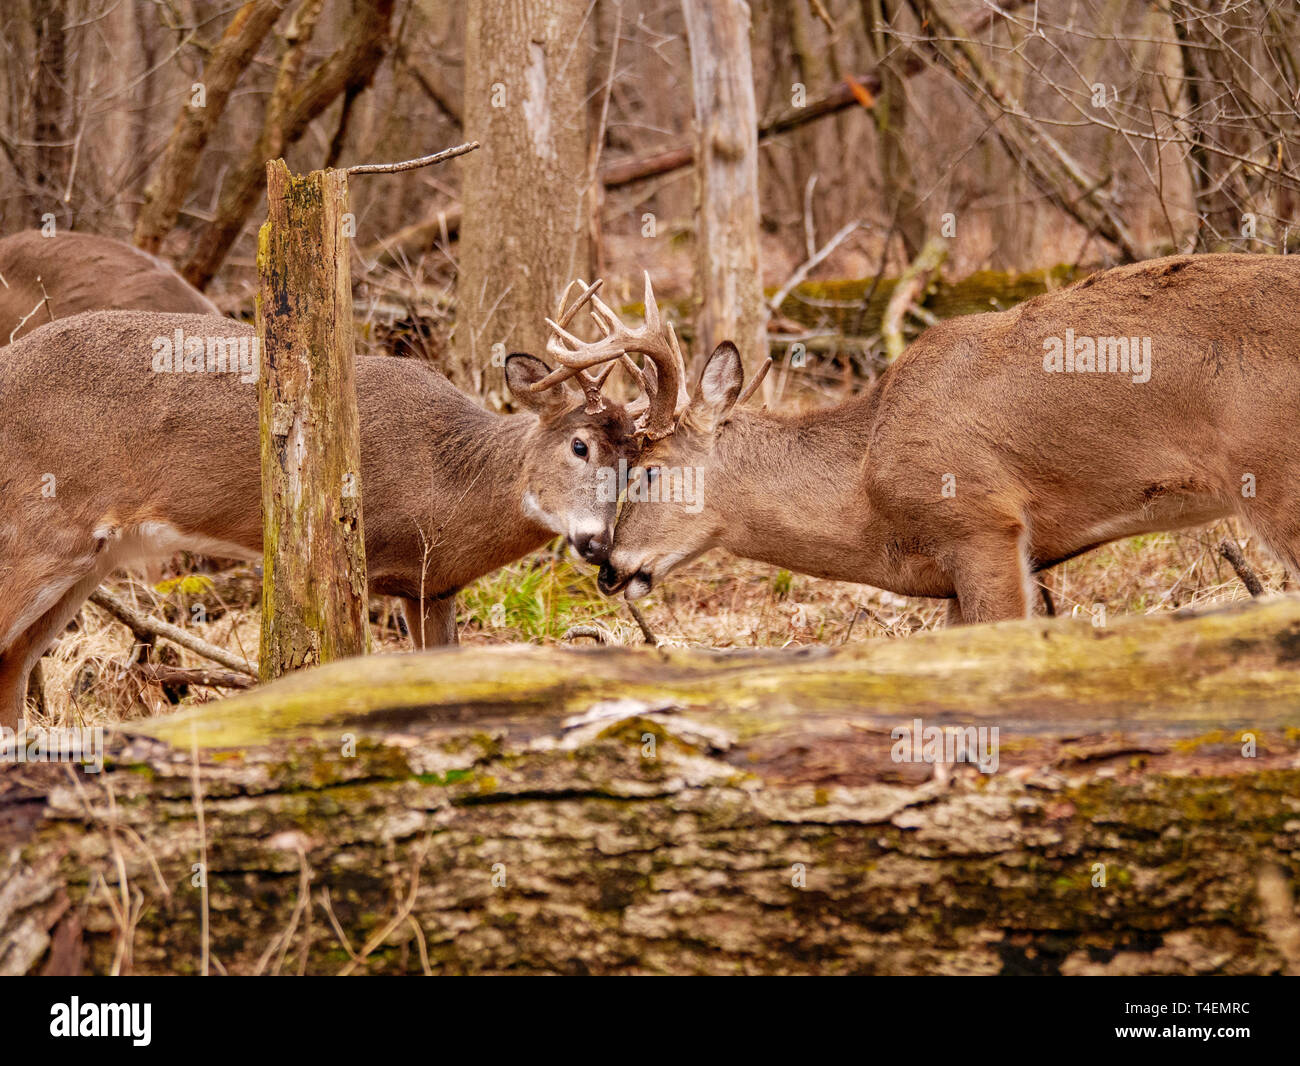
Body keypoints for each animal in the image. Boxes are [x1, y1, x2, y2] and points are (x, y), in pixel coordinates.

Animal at [0, 277, 676, 728]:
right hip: (36, 529)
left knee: (13, 663)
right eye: (579, 445)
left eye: (637, 467)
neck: (447, 479)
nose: (597, 546)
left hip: (93, 560)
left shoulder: (431, 587)